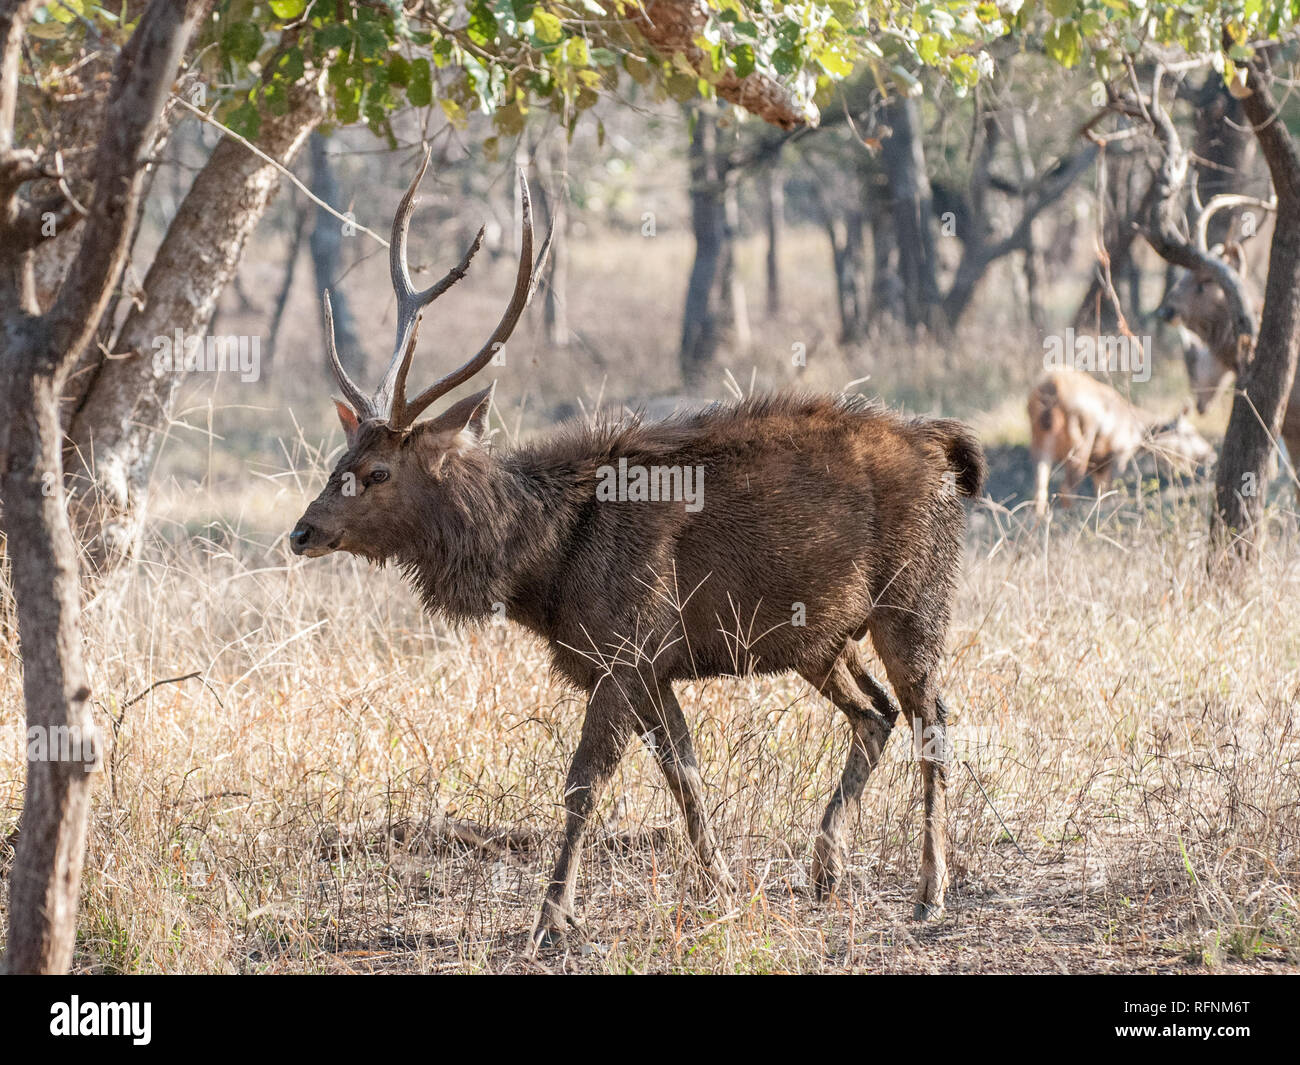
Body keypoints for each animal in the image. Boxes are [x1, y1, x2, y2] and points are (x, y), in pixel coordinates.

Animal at [289, 152, 988, 948]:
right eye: (340, 456)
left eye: (377, 471)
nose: (302, 531)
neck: (547, 564)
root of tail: (947, 449)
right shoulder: (654, 666)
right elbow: (685, 774)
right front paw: (723, 888)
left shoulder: (623, 651)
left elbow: (583, 783)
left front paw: (550, 919)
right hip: (821, 637)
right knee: (875, 713)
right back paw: (824, 868)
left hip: (915, 600)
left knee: (934, 717)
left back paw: (930, 891)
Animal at [1029, 369, 1214, 516]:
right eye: (1191, 432)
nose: (1211, 454)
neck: (1138, 433)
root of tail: (1050, 390)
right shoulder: (1119, 454)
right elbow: (1108, 490)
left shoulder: (1099, 463)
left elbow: (1101, 491)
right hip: (1079, 447)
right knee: (1066, 488)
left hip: (1040, 444)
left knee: (1040, 487)